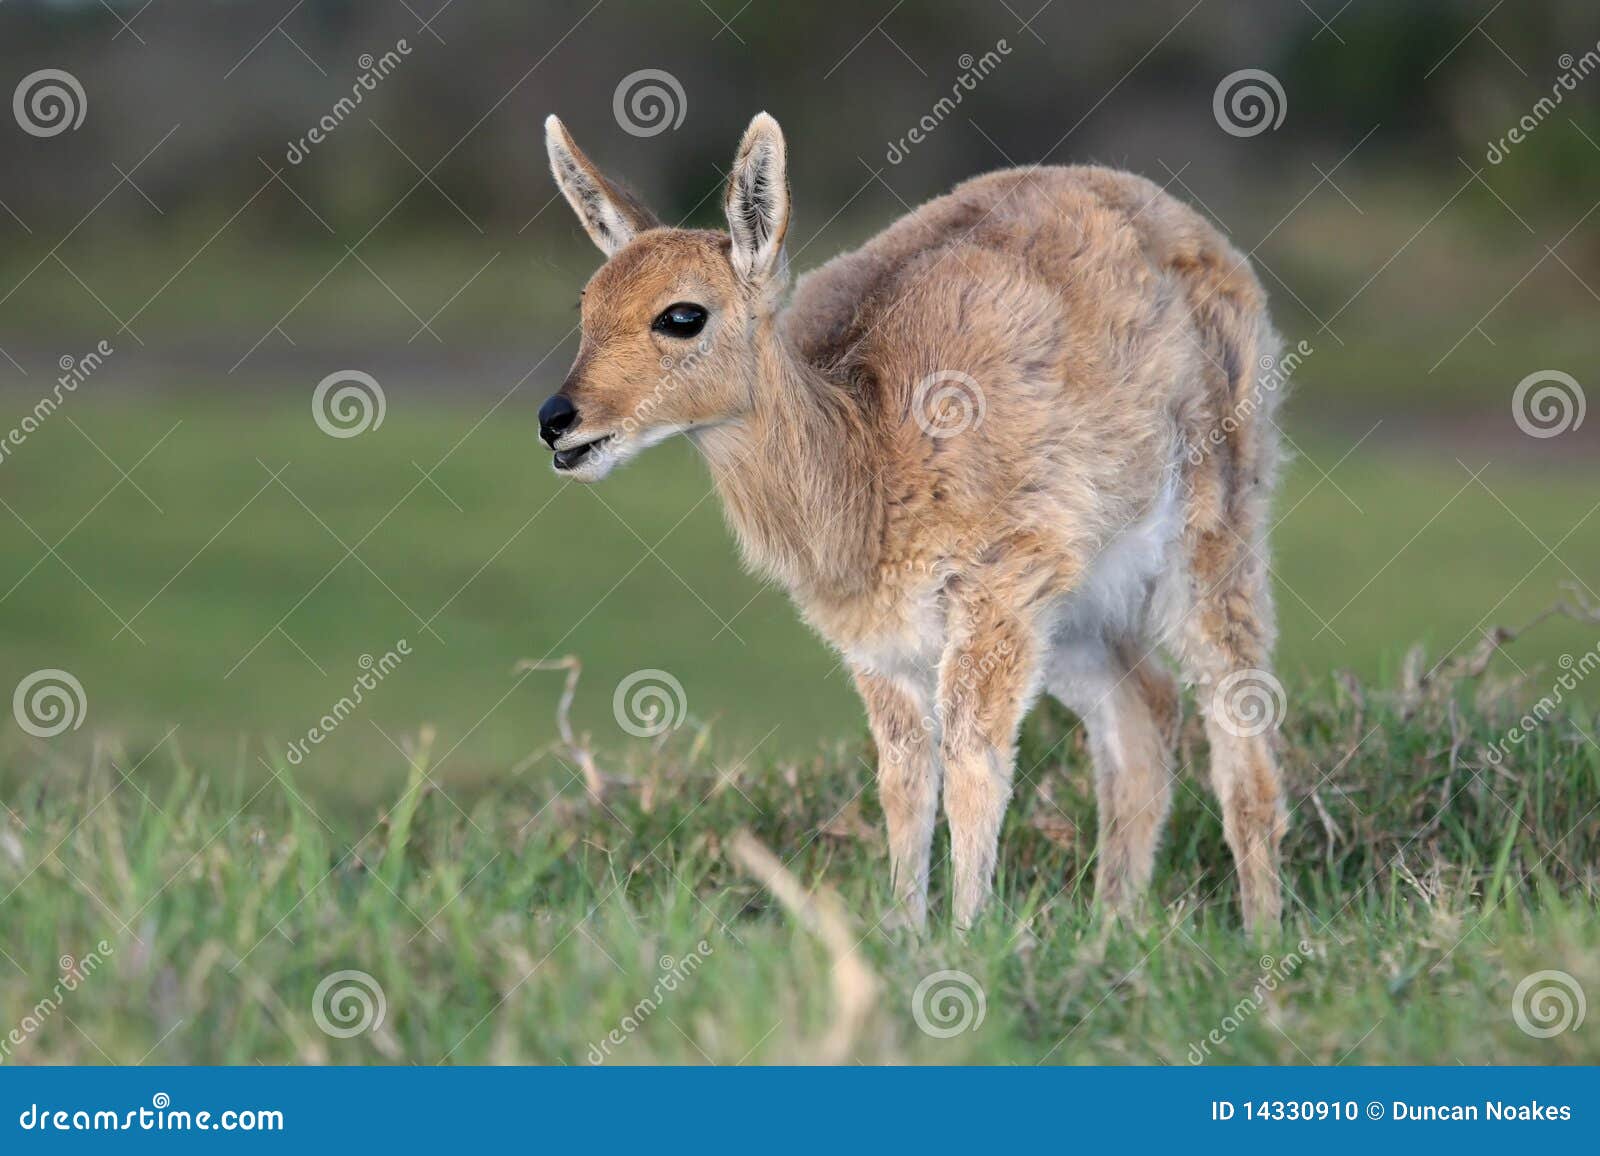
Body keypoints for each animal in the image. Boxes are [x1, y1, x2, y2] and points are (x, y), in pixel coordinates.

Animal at [540, 111, 1287, 934]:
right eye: (585, 306)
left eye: (682, 315)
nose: (557, 421)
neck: (867, 470)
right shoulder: (881, 645)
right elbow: (903, 779)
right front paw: (905, 933)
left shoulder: (993, 590)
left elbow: (973, 767)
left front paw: (968, 941)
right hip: (1075, 611)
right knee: (1145, 713)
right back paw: (1110, 927)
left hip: (1218, 530)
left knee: (1241, 728)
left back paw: (1264, 936)